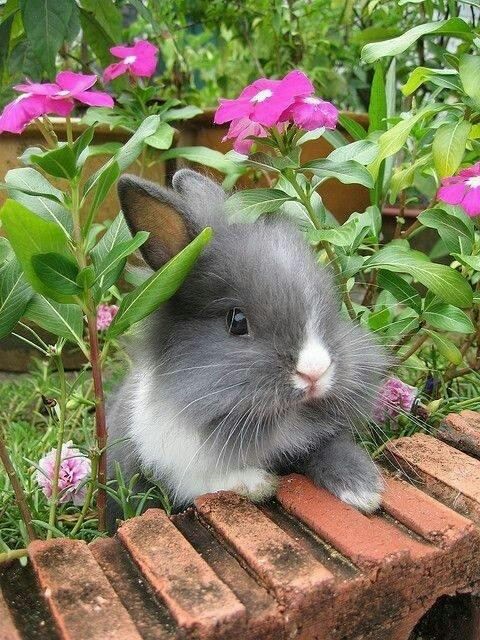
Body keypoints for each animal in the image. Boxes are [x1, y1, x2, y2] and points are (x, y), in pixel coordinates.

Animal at [106, 169, 388, 528]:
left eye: (330, 306)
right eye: (236, 321)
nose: (315, 372)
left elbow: (332, 448)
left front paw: (364, 490)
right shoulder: (177, 466)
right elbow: (207, 481)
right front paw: (260, 482)